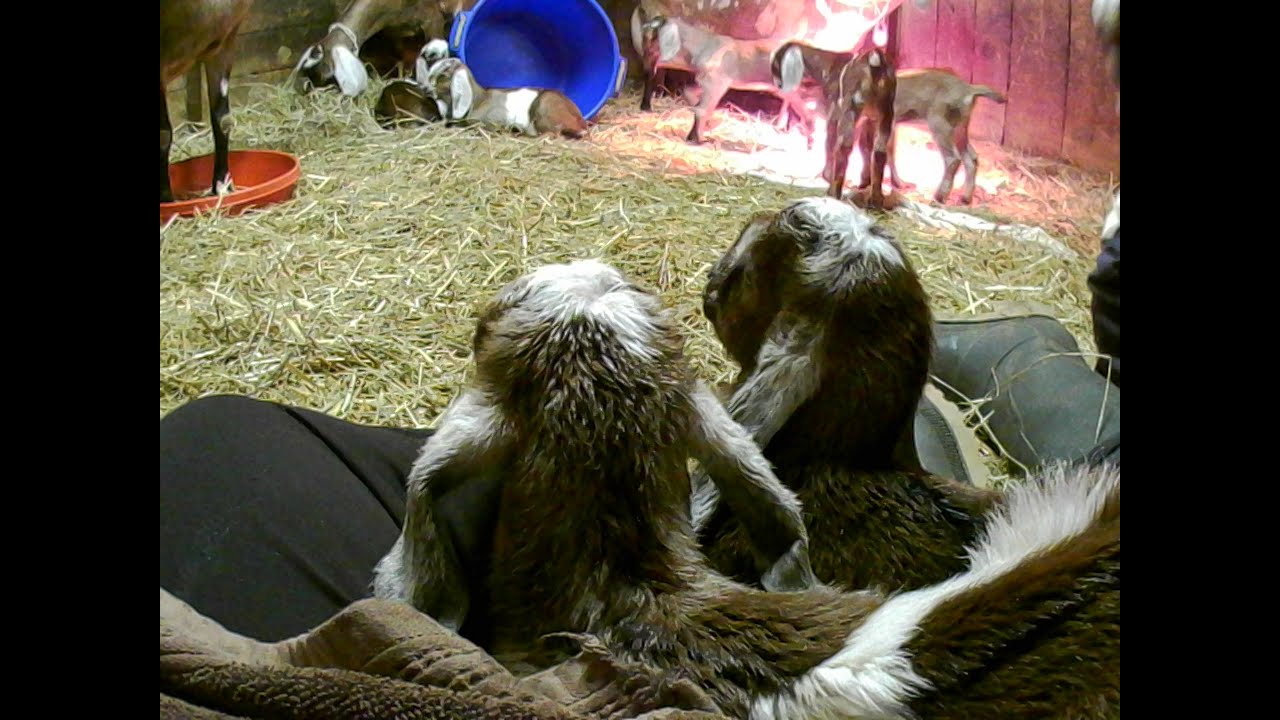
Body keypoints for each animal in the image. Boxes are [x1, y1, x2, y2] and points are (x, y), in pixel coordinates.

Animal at [773, 41, 896, 209]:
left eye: (775, 65)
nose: (777, 85)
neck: (828, 68)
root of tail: (875, 61)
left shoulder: (834, 110)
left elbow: (829, 139)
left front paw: (826, 175)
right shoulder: (870, 119)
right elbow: (866, 146)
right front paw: (864, 183)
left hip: (851, 105)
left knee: (844, 144)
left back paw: (833, 192)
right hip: (887, 109)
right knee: (879, 151)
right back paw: (876, 200)